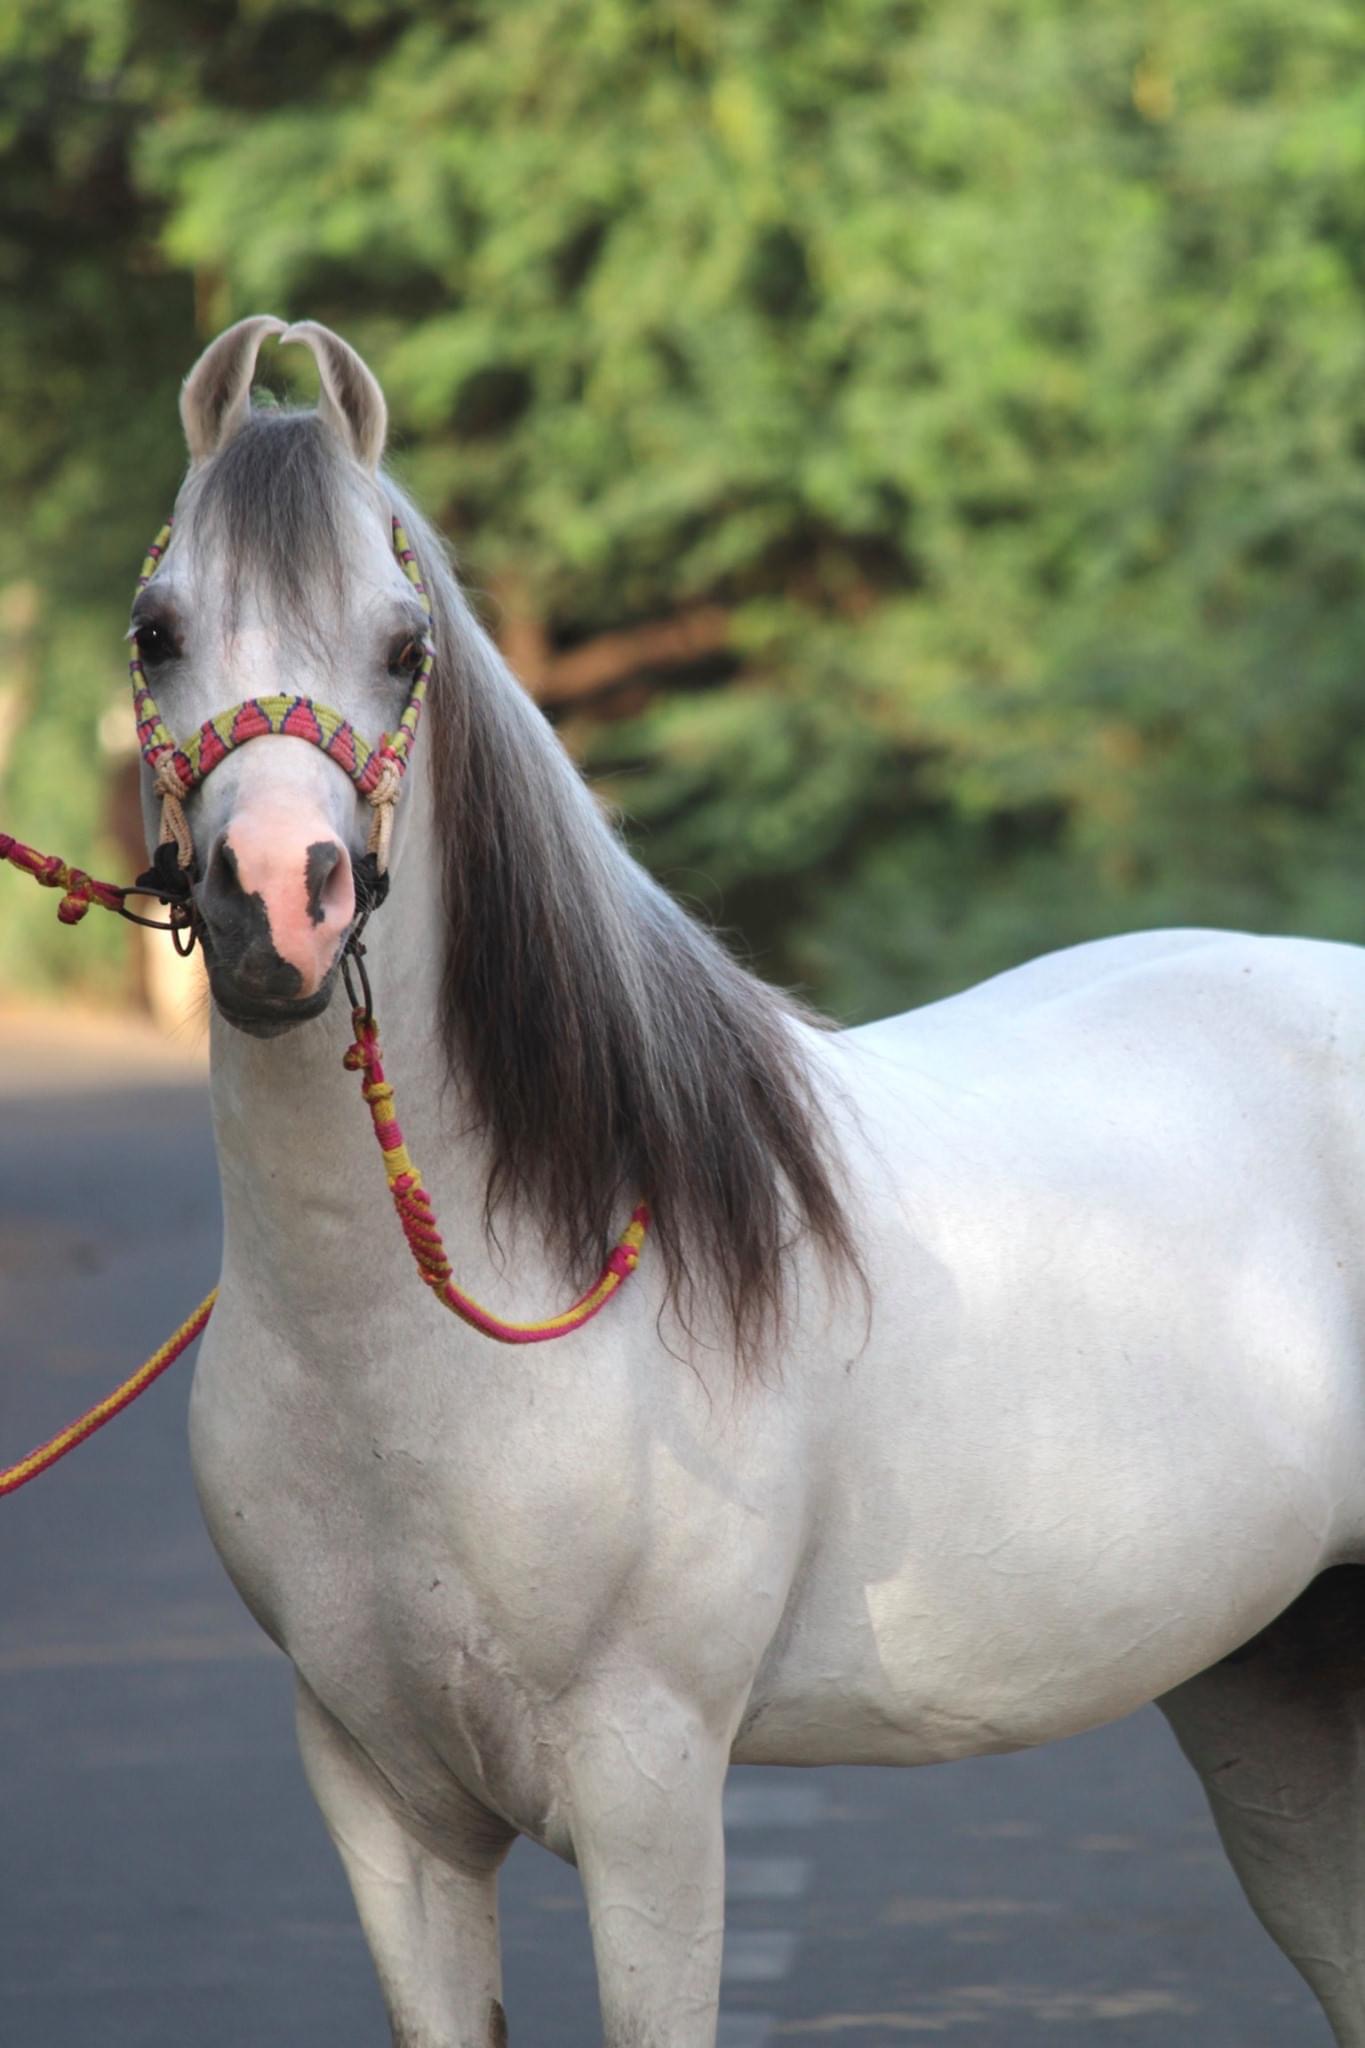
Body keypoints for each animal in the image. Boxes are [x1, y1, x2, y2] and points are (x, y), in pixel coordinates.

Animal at [137, 313, 1365, 2046]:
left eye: (402, 646)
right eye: (156, 630)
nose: (275, 910)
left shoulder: (649, 1785)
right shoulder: (382, 1800)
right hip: (1281, 1683)